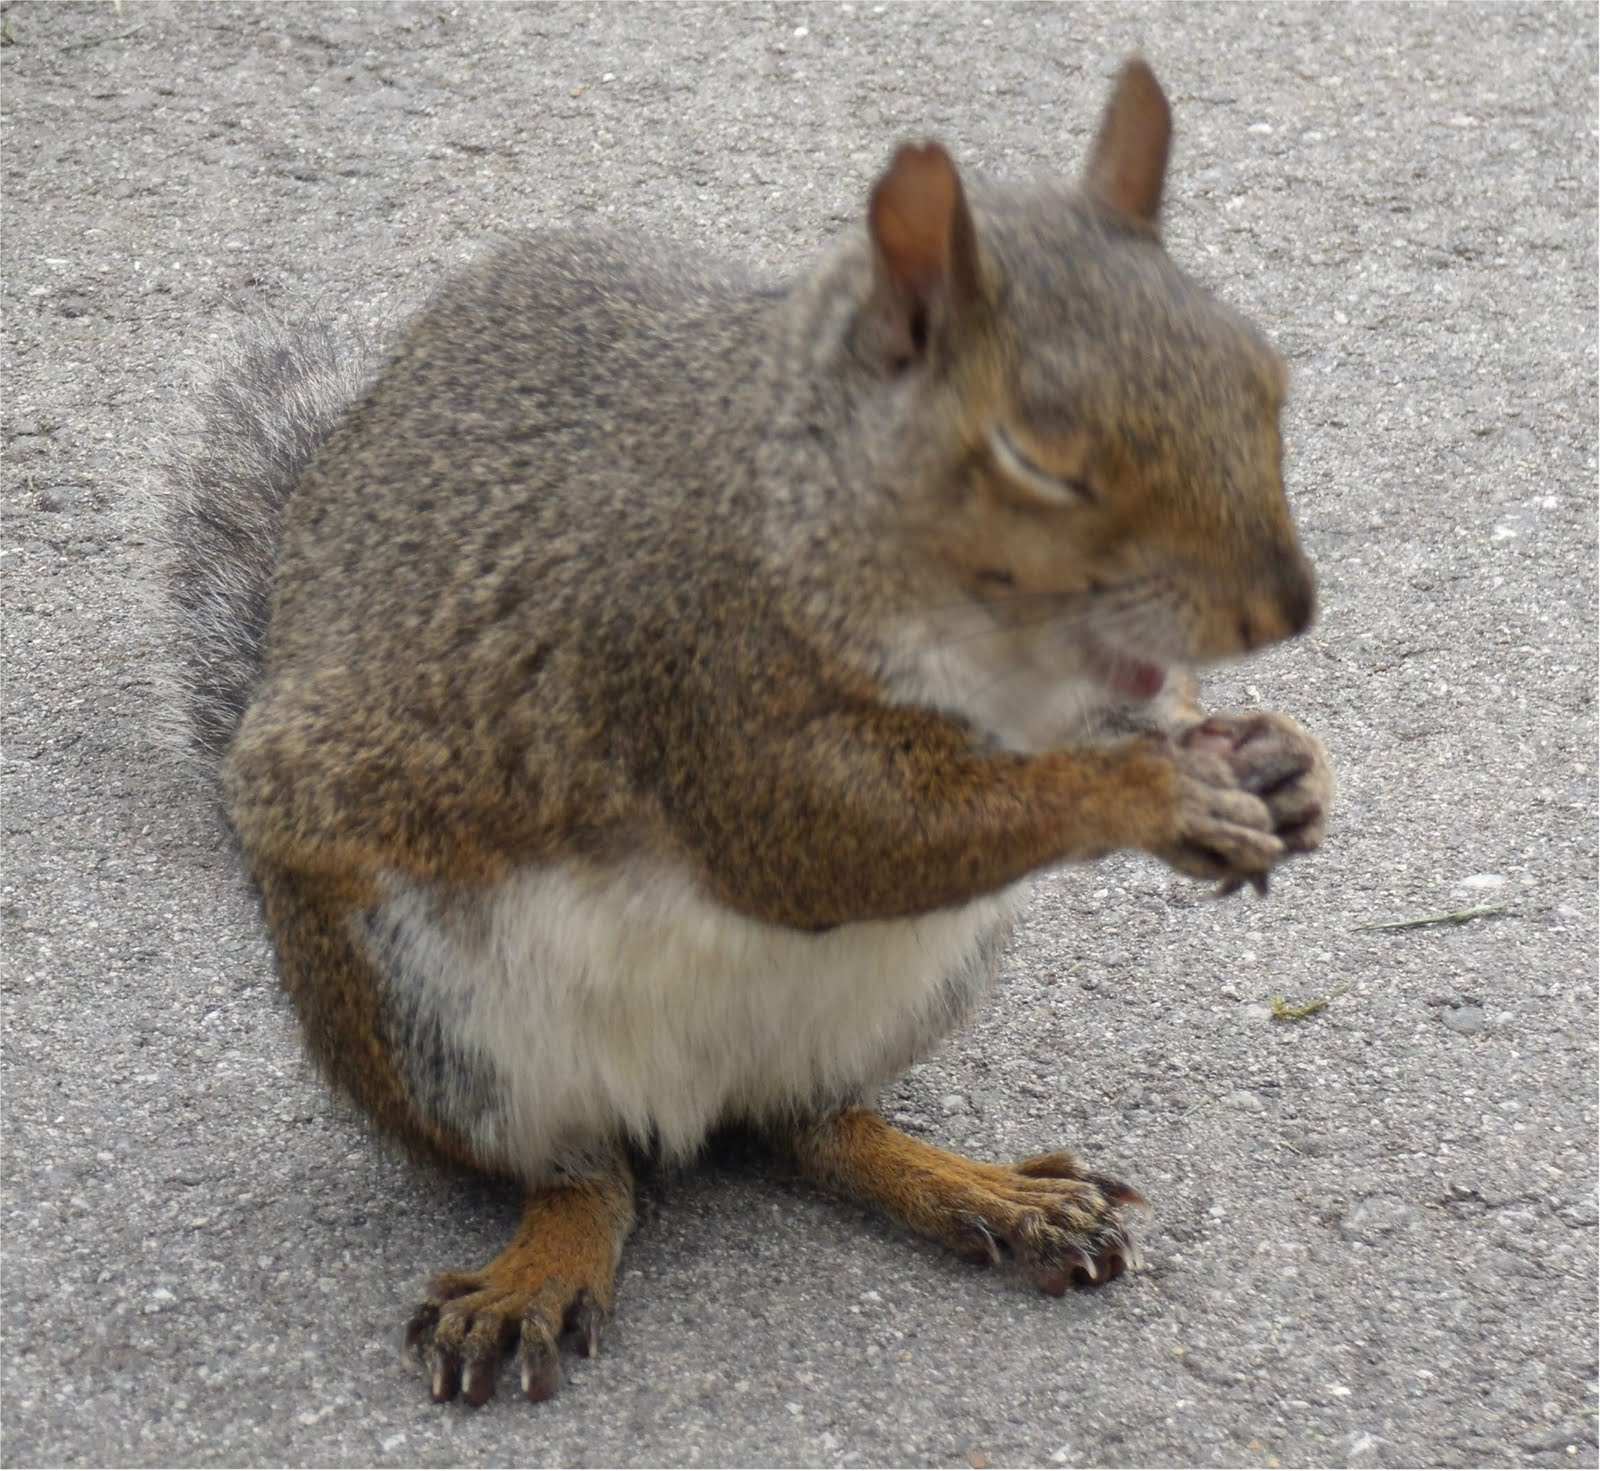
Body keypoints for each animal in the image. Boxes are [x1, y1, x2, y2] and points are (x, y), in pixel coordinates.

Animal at [164, 58, 1332, 1408]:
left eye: (1265, 379)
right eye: (1037, 459)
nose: (1285, 607)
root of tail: (686, 1103)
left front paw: (1283, 764)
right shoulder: (689, 672)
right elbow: (829, 842)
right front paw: (1154, 794)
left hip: (909, 987)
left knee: (813, 1123)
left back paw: (983, 1192)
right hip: (418, 1011)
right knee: (577, 1175)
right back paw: (536, 1270)